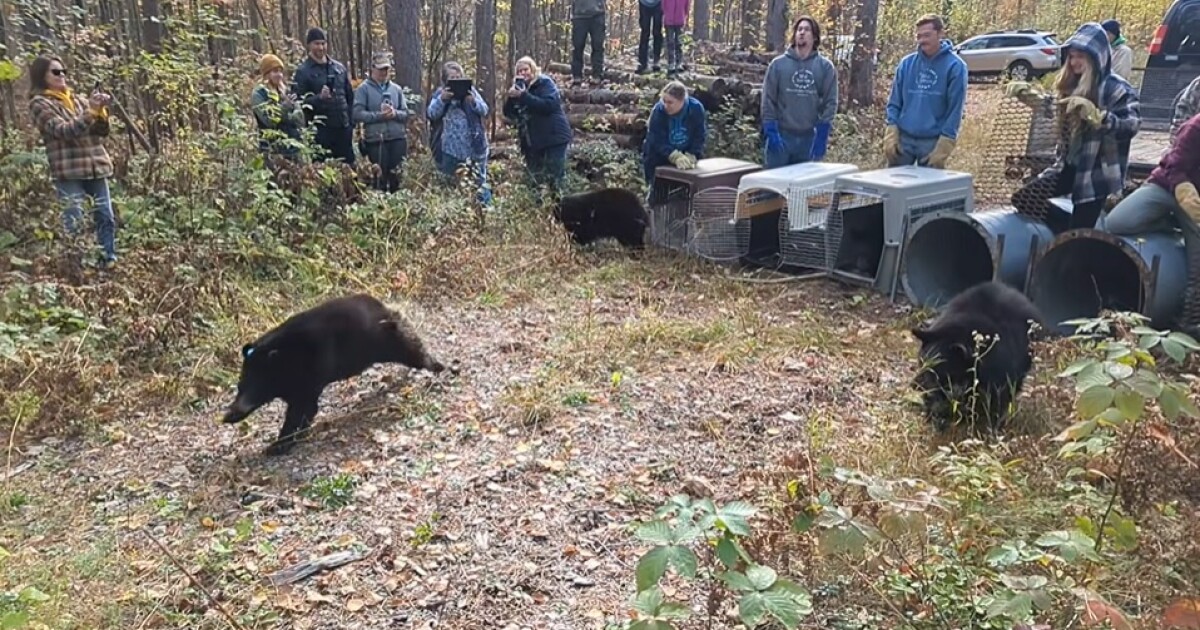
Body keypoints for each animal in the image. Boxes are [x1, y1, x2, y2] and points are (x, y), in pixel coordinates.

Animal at [220, 293, 451, 455]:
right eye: (240, 386)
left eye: (258, 387)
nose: (229, 415)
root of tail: (384, 307)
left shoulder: (308, 376)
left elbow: (302, 409)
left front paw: (280, 444)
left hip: (385, 340)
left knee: (411, 348)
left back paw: (437, 365)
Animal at [910, 281, 1047, 433]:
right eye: (921, 362)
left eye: (938, 370)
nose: (914, 385)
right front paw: (934, 415)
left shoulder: (1003, 366)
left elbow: (1000, 396)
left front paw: (992, 425)